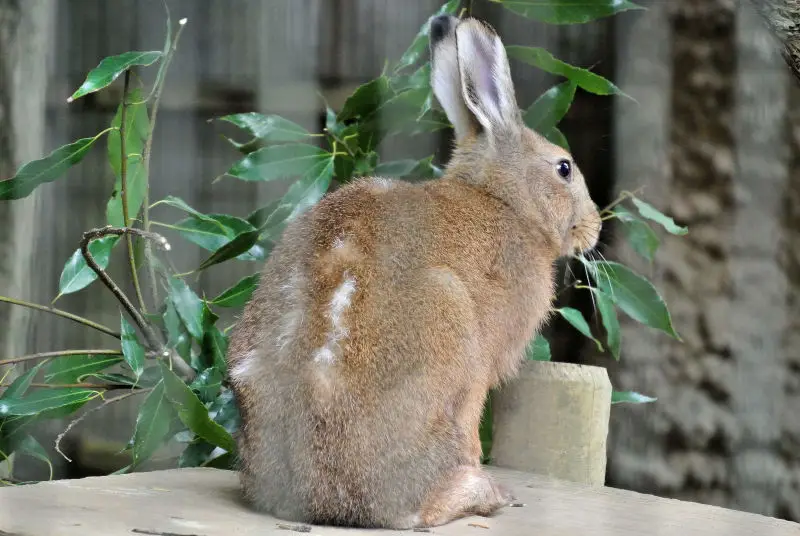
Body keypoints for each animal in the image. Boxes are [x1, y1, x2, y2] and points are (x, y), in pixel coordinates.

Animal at [226, 13, 601, 530]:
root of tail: (327, 500)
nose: (595, 226)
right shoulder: (479, 372)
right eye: (564, 168)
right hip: (448, 319)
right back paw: (486, 493)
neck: (503, 202)